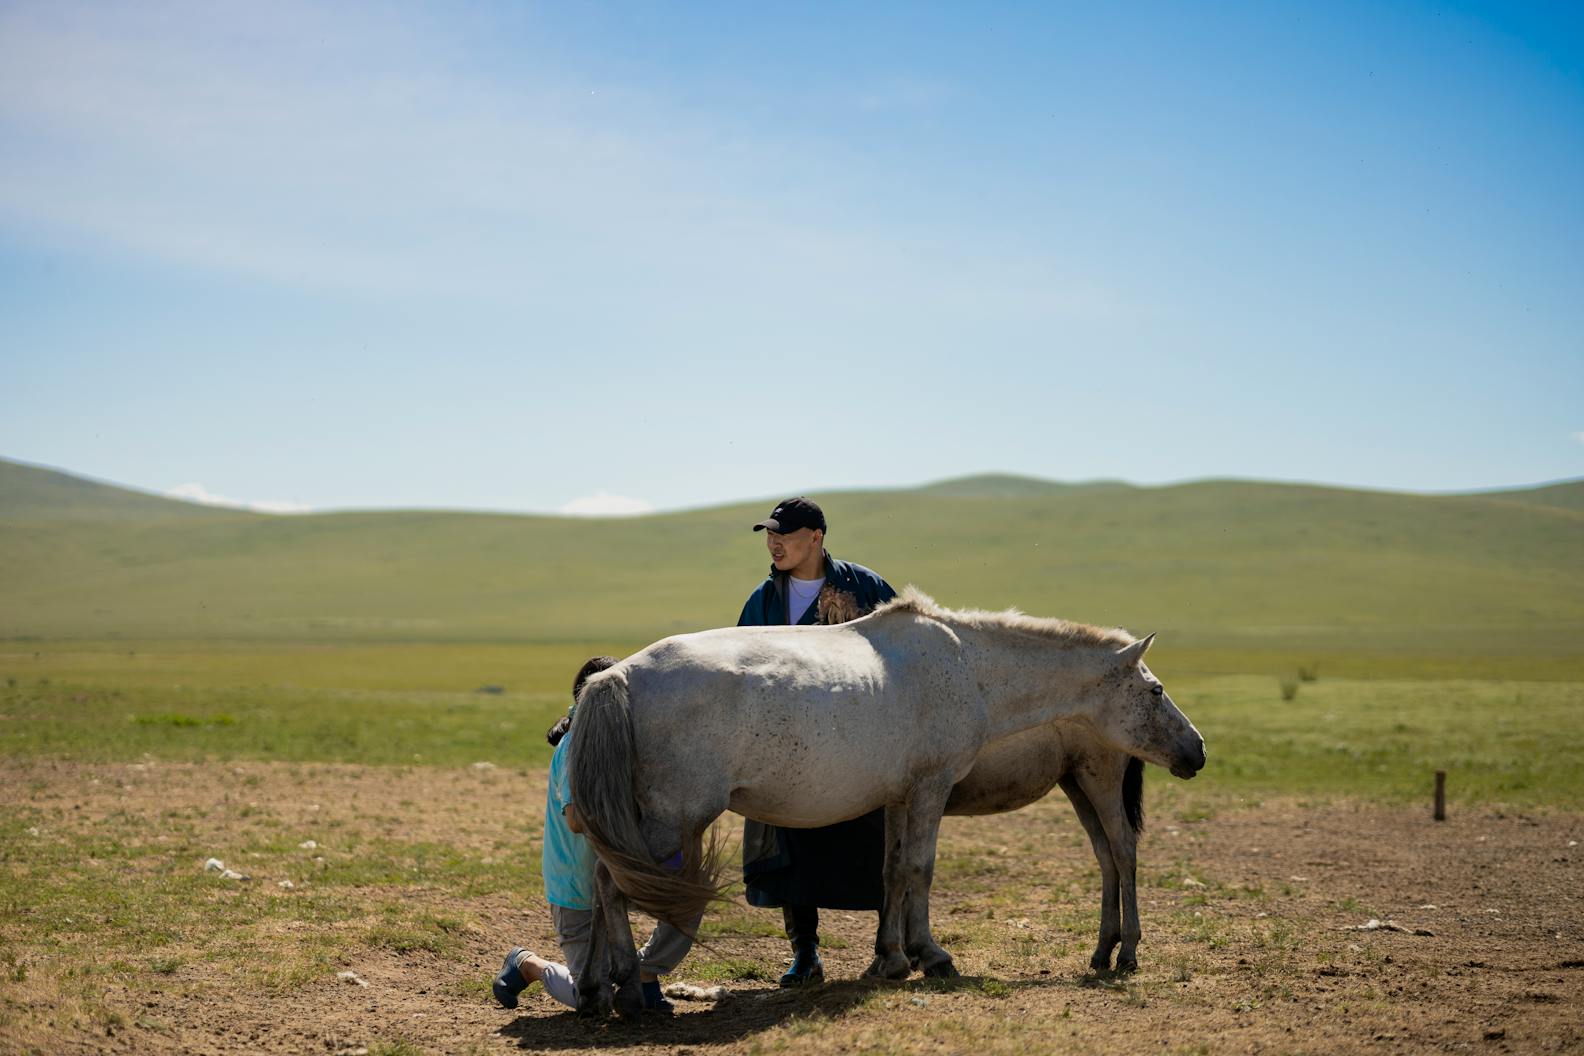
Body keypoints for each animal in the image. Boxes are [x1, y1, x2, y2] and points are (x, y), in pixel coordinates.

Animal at [566, 587, 1205, 1019]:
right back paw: (628, 990)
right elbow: (920, 869)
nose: (1196, 750)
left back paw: (594, 992)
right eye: (1155, 691)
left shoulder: (902, 797)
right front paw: (931, 956)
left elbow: (893, 872)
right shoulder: (930, 789)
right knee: (612, 888)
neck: (968, 667)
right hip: (670, 822)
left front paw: (891, 959)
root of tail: (616, 679)